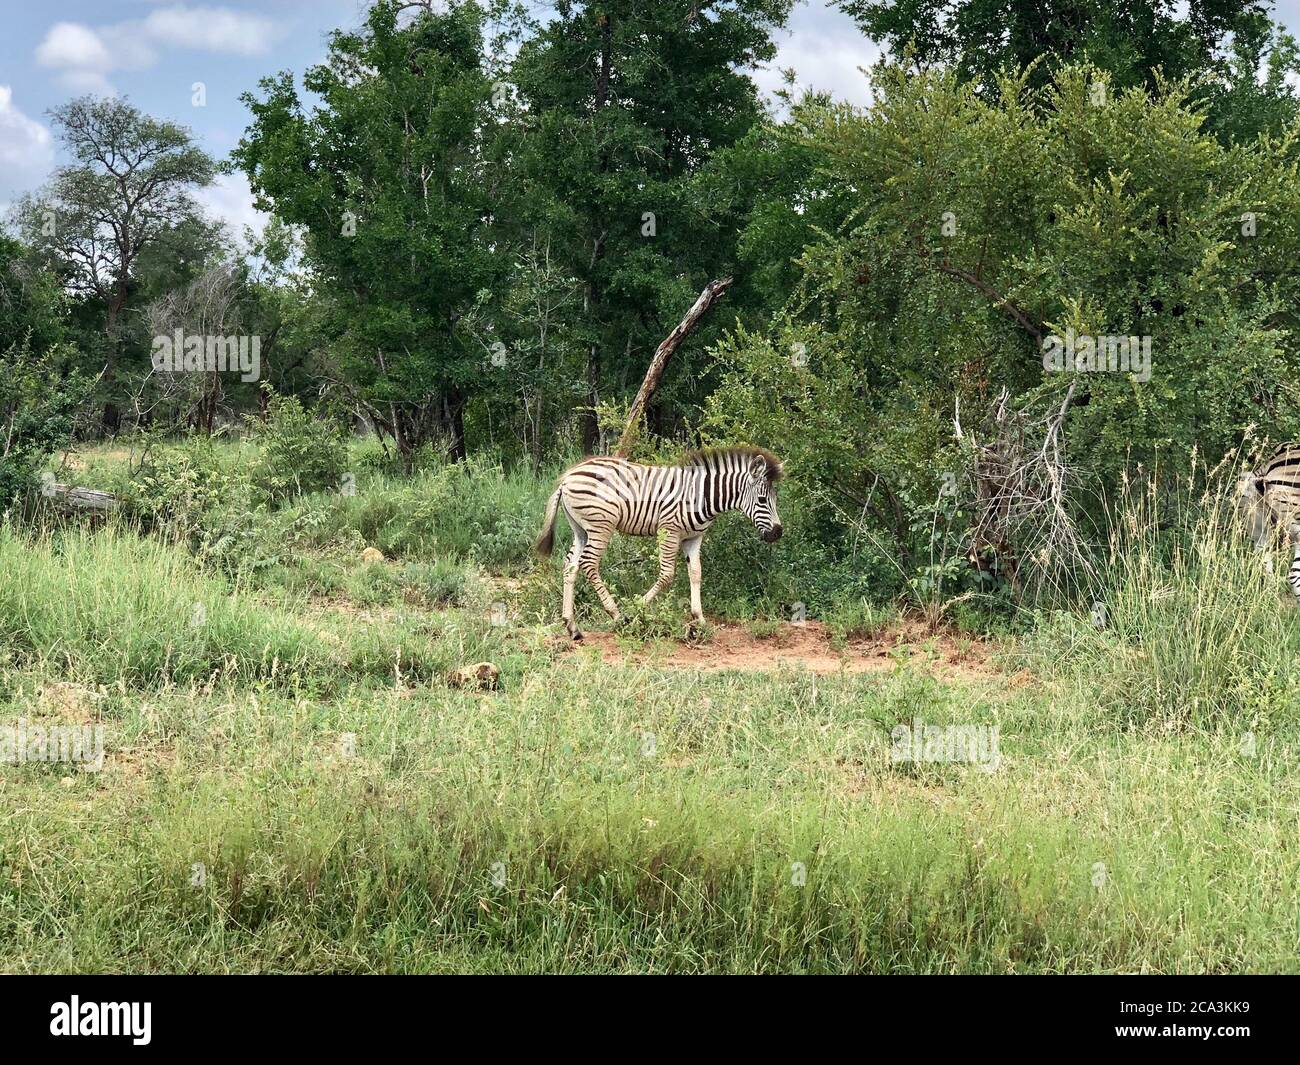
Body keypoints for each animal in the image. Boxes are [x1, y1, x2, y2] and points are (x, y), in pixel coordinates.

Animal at [535, 447, 784, 639]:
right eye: (762, 499)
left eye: (775, 499)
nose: (777, 533)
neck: (701, 496)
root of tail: (568, 478)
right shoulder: (669, 530)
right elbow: (666, 575)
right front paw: (635, 611)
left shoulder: (693, 538)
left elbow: (696, 573)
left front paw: (700, 620)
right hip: (601, 524)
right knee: (588, 564)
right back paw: (617, 615)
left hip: (581, 529)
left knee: (571, 567)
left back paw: (572, 626)